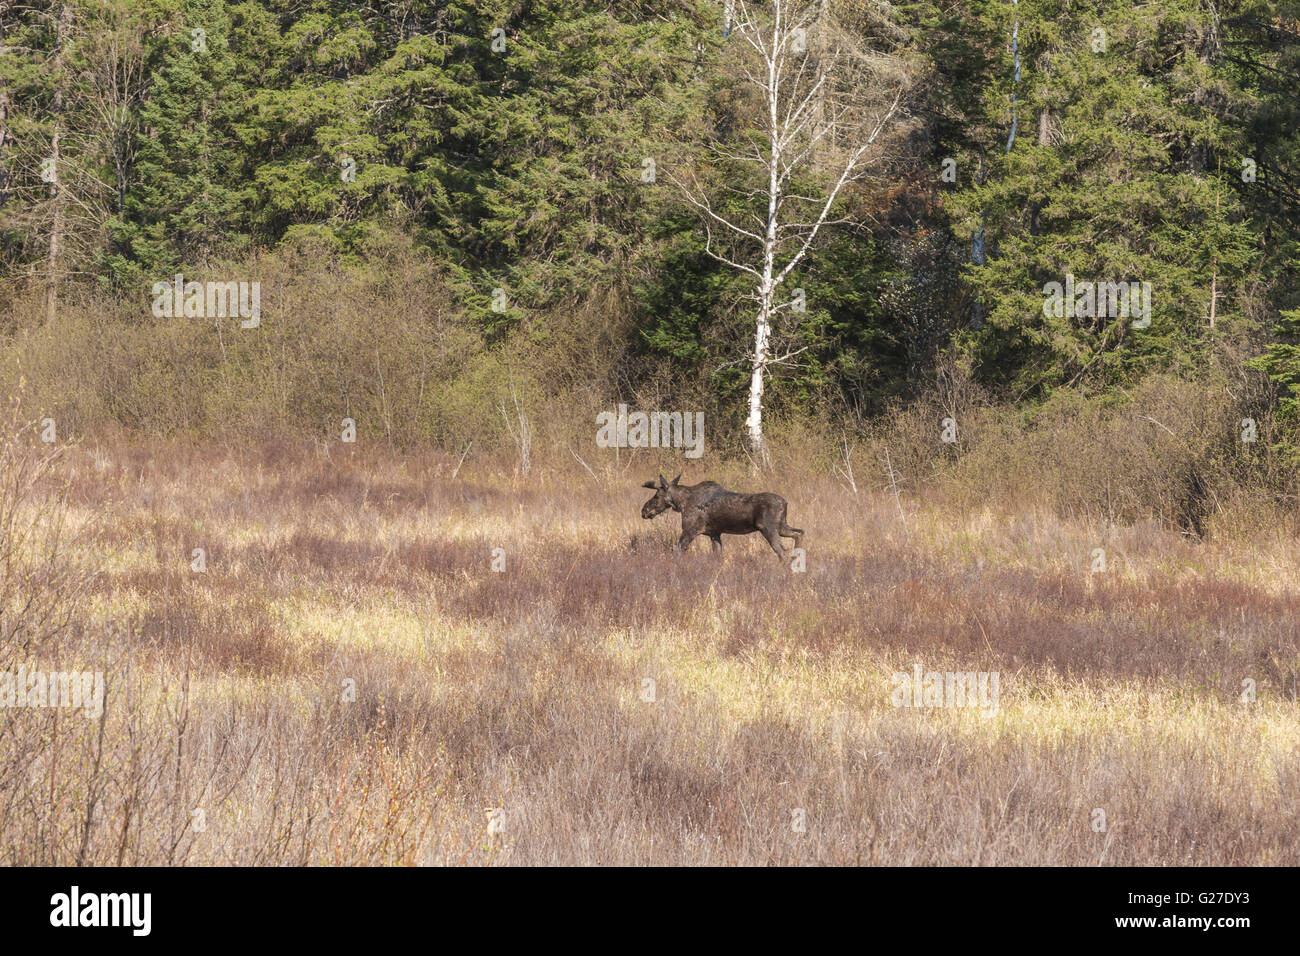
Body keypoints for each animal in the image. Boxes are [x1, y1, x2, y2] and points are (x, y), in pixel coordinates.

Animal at [640, 473, 803, 560]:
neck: (680, 503)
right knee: (799, 533)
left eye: (656, 495)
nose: (644, 510)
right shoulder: (715, 533)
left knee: (783, 553)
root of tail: (785, 503)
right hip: (782, 527)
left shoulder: (690, 531)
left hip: (768, 529)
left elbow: (677, 552)